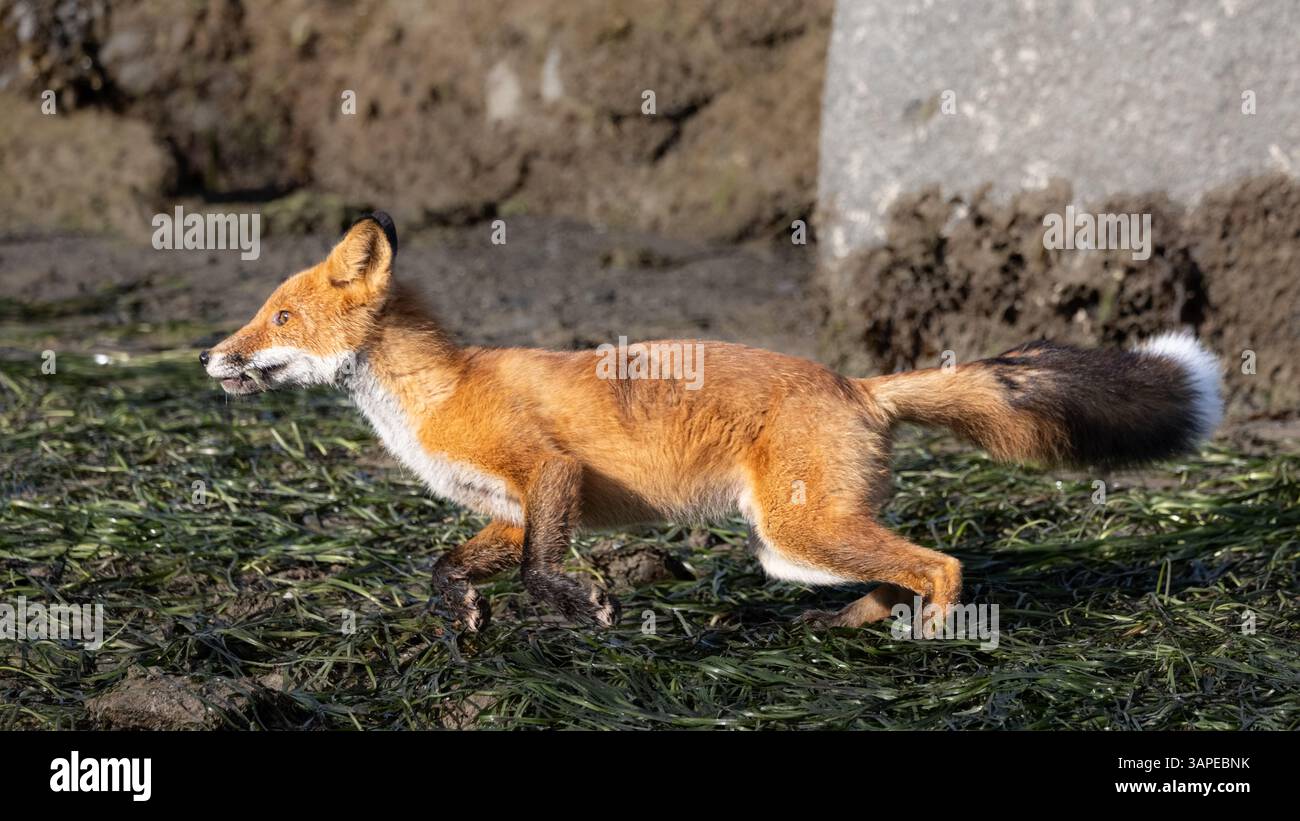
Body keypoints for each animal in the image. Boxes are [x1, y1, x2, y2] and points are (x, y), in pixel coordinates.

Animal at [202, 212, 1224, 632]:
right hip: (795, 543)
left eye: (278, 317)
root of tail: (856, 382)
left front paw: (585, 606)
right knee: (898, 568)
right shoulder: (509, 505)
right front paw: (463, 611)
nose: (212, 356)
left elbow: (538, 571)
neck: (438, 392)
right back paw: (855, 621)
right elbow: (449, 563)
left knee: (941, 563)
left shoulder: (548, 477)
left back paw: (931, 638)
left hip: (799, 530)